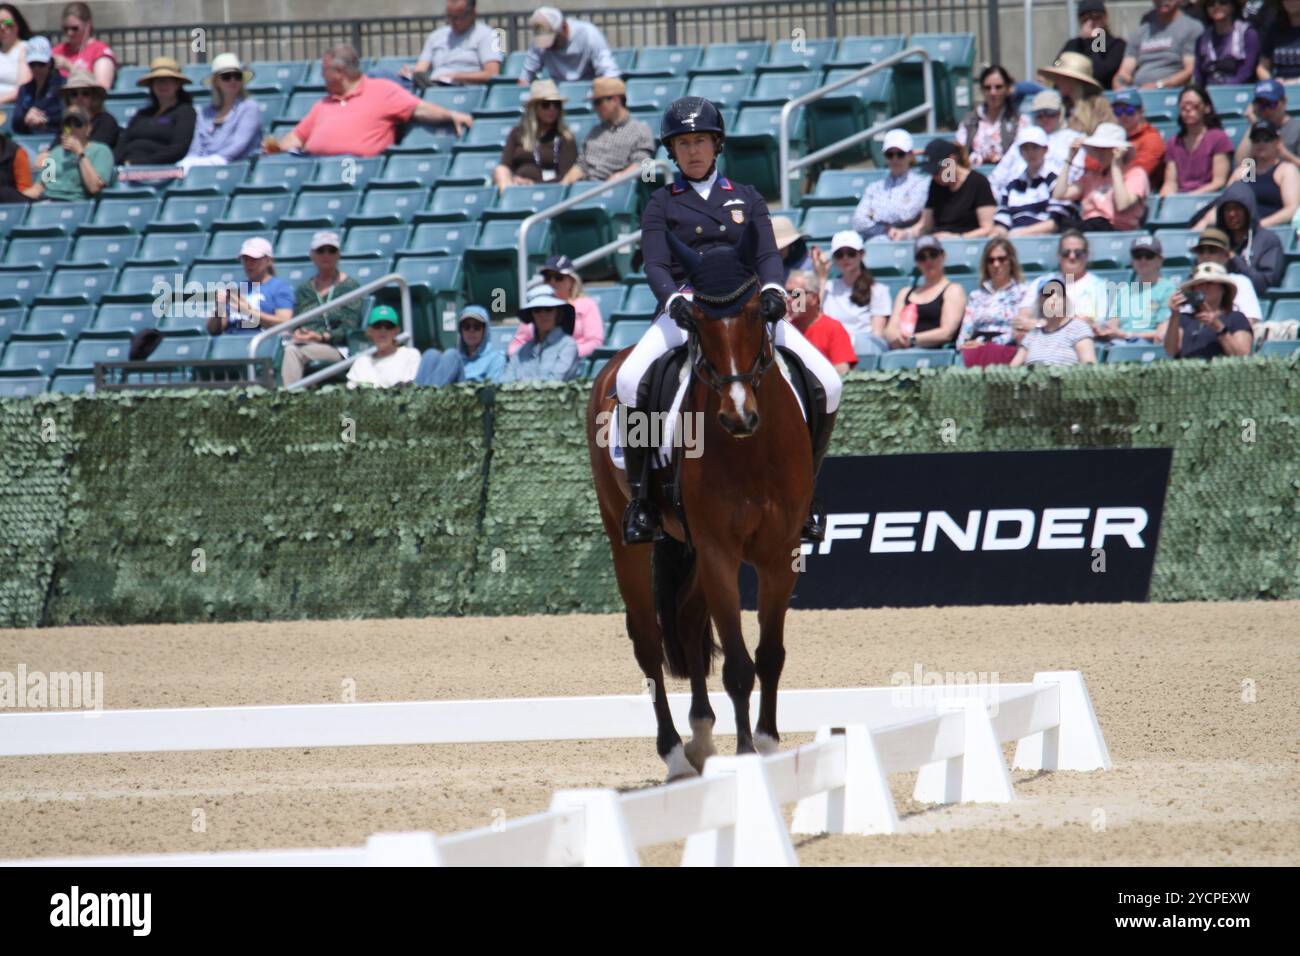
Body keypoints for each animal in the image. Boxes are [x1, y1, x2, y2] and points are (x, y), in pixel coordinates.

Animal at [586, 241, 813, 781]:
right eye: (699, 322)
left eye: (755, 312)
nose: (739, 416)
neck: (752, 449)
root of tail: (610, 366)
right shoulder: (718, 552)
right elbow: (738, 666)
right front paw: (748, 754)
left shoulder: (780, 556)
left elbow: (769, 655)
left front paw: (768, 744)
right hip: (627, 538)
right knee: (649, 642)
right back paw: (674, 754)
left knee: (688, 621)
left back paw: (703, 737)